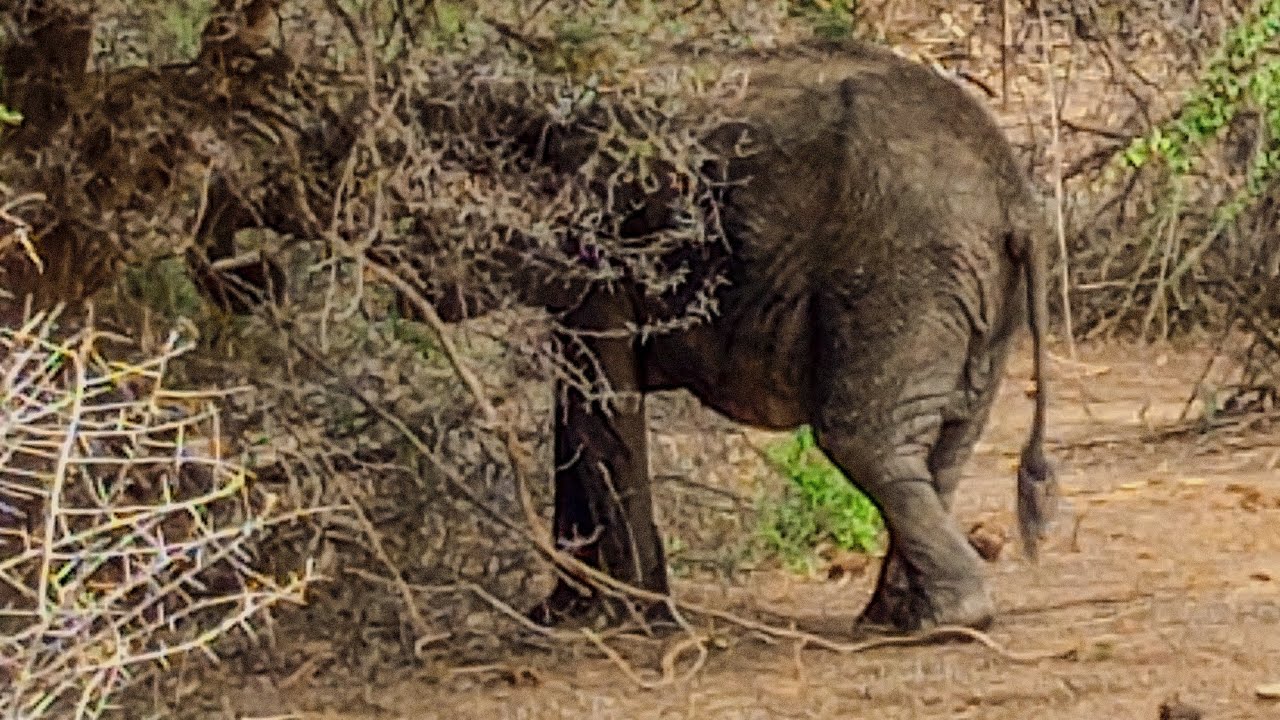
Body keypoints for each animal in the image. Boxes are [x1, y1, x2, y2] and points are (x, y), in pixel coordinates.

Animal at [411, 38, 1060, 633]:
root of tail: (1017, 204)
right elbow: (576, 417)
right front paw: (559, 617)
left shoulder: (600, 250)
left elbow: (603, 413)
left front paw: (635, 625)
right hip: (978, 292)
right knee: (945, 448)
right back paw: (897, 618)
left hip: (908, 268)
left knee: (865, 439)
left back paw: (941, 620)